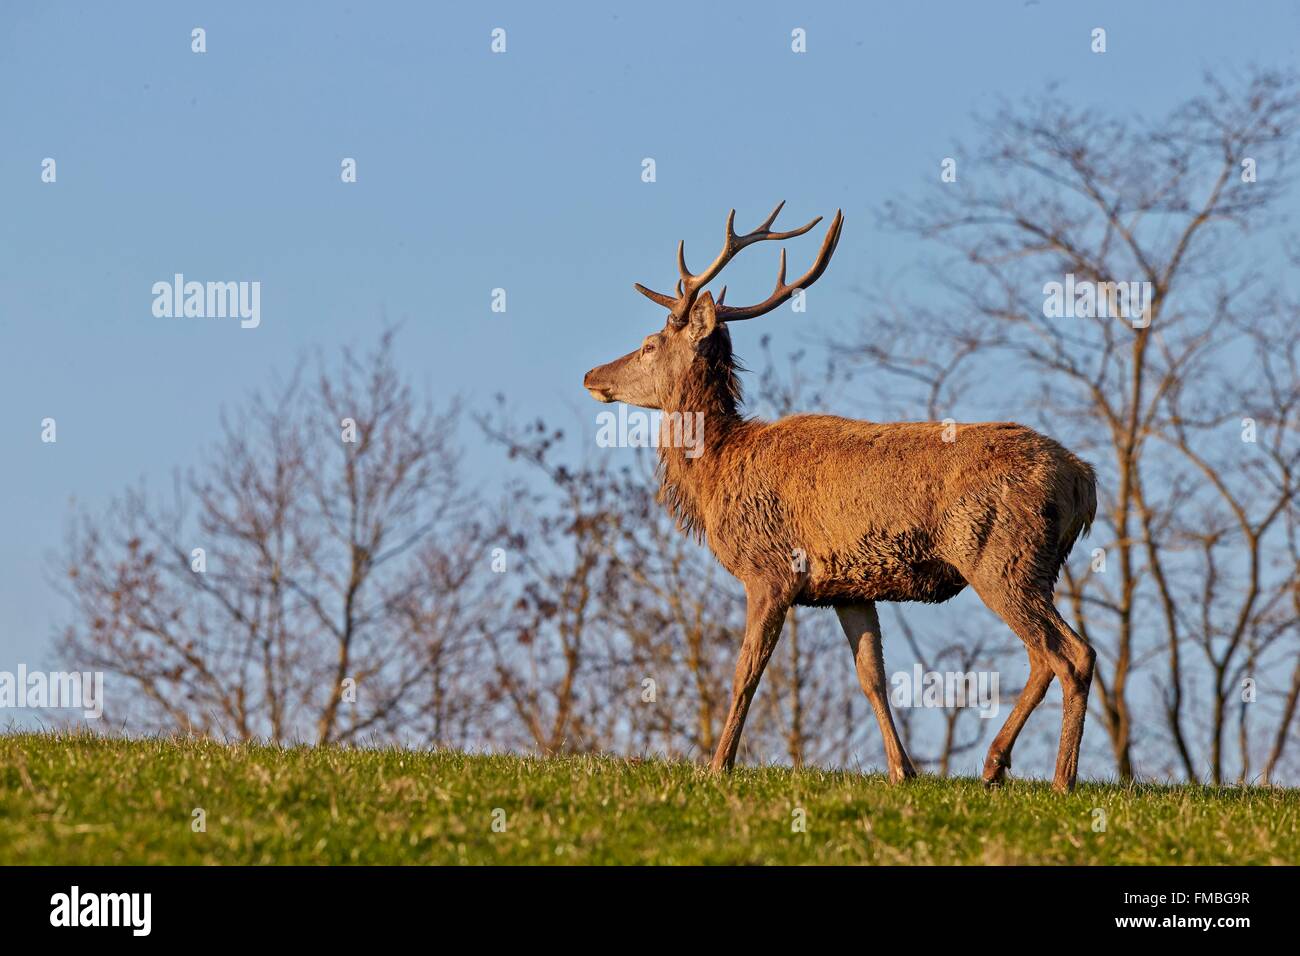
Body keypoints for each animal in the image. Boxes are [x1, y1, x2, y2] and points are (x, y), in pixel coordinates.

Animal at [583, 202, 1098, 793]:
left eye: (649, 345)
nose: (592, 375)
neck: (716, 472)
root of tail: (1084, 481)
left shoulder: (770, 570)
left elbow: (745, 672)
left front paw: (718, 765)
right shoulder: (849, 587)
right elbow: (871, 675)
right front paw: (902, 771)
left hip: (1001, 556)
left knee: (1069, 653)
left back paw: (1058, 779)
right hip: (1034, 566)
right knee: (1049, 655)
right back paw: (996, 766)